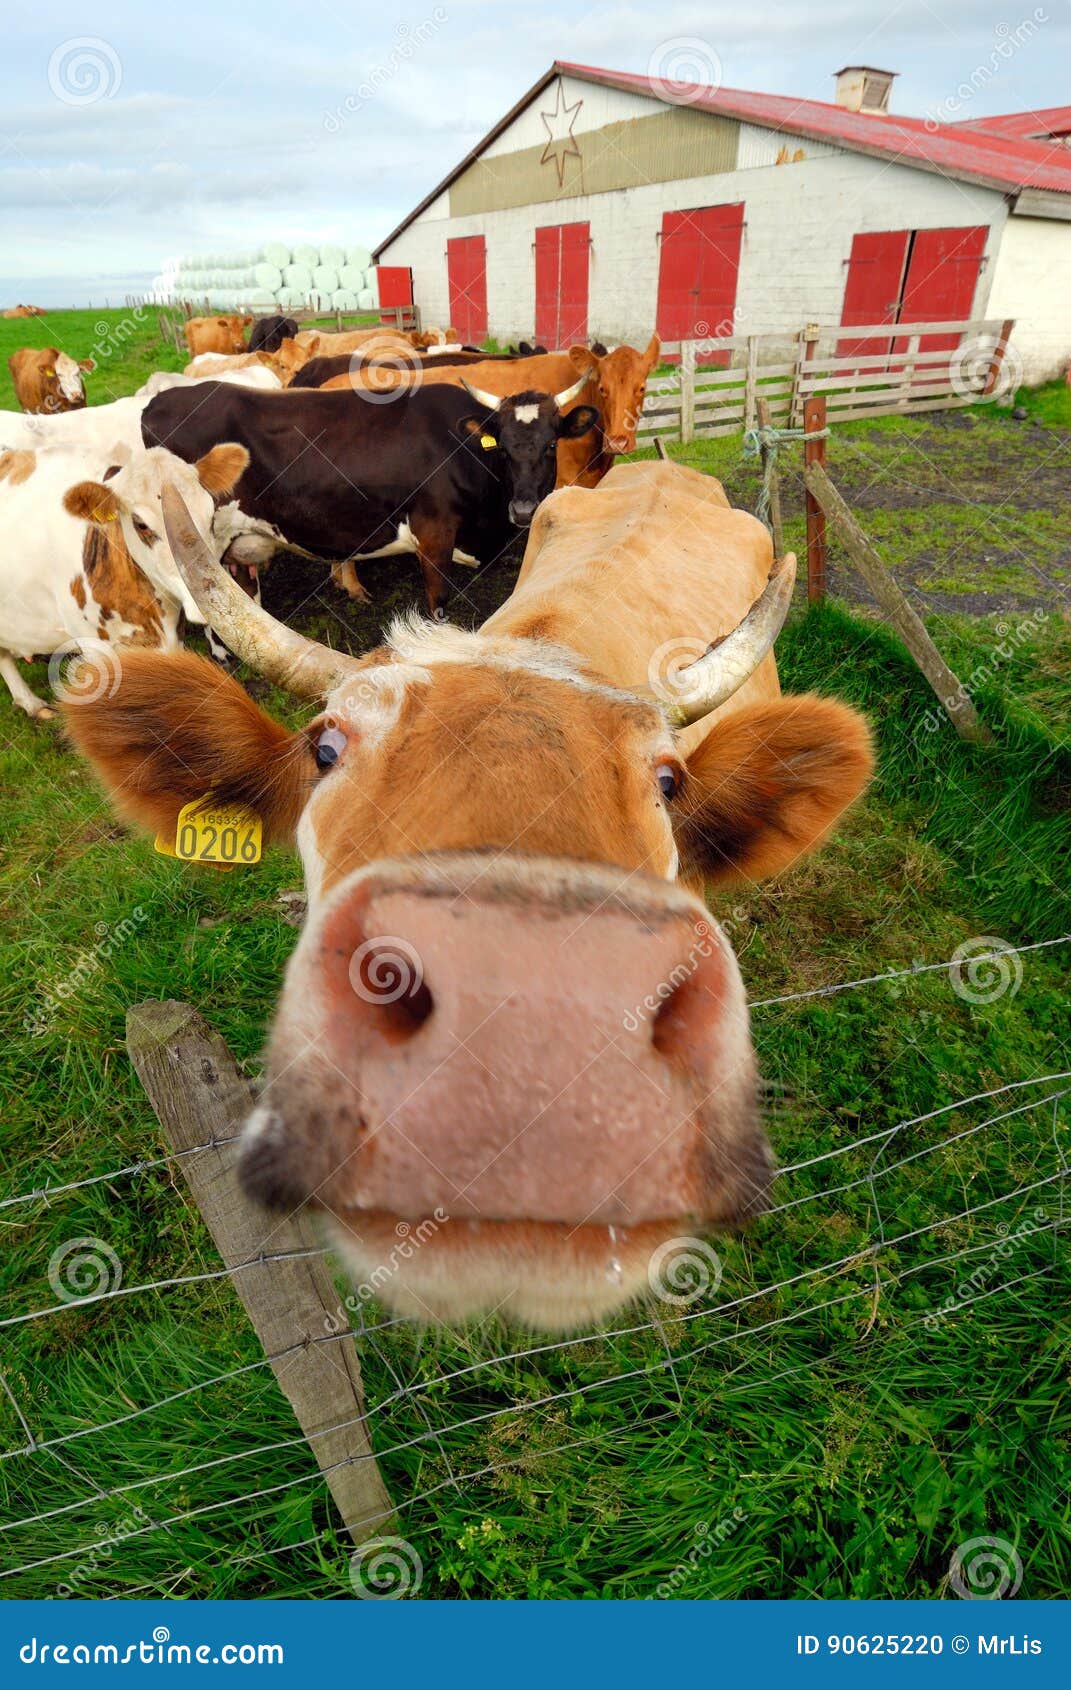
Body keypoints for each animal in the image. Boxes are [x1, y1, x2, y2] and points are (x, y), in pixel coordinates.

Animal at [140, 375, 598, 615]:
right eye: (502, 448)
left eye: (551, 445)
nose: (522, 509)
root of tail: (160, 399)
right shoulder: (434, 536)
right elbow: (438, 602)